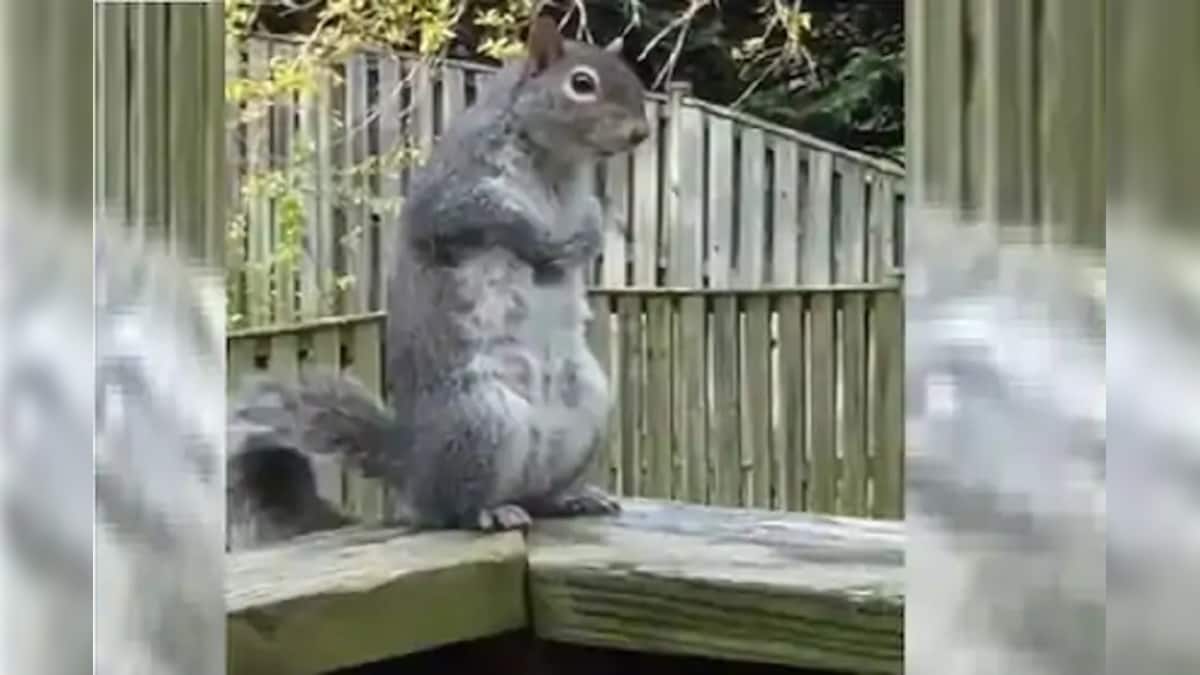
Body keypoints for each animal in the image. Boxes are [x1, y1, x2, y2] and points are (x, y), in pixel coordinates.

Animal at [228, 15, 650, 541]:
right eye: (582, 84)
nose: (640, 132)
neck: (556, 165)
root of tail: (414, 467)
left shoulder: (586, 202)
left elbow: (593, 223)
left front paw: (577, 246)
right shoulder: (453, 193)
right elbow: (488, 218)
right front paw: (542, 245)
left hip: (586, 408)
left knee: (539, 494)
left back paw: (570, 497)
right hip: (481, 421)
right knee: (454, 509)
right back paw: (488, 512)